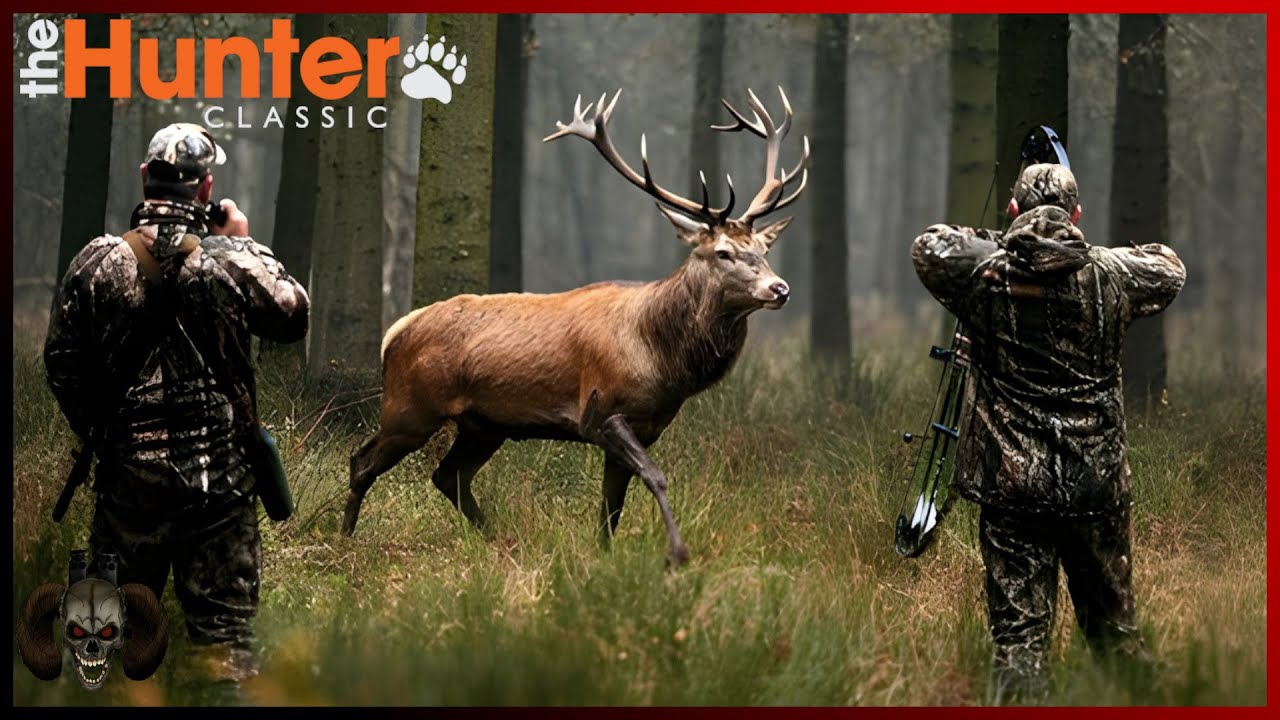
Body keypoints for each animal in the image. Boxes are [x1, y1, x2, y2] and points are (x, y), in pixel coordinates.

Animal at [342, 87, 810, 566]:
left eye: (762, 249)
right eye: (722, 252)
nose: (779, 288)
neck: (663, 365)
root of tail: (395, 332)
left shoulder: (647, 427)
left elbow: (611, 507)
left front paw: (604, 556)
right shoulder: (600, 411)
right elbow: (655, 478)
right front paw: (677, 554)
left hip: (484, 424)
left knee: (448, 476)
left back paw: (500, 540)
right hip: (410, 407)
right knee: (362, 461)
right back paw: (344, 539)